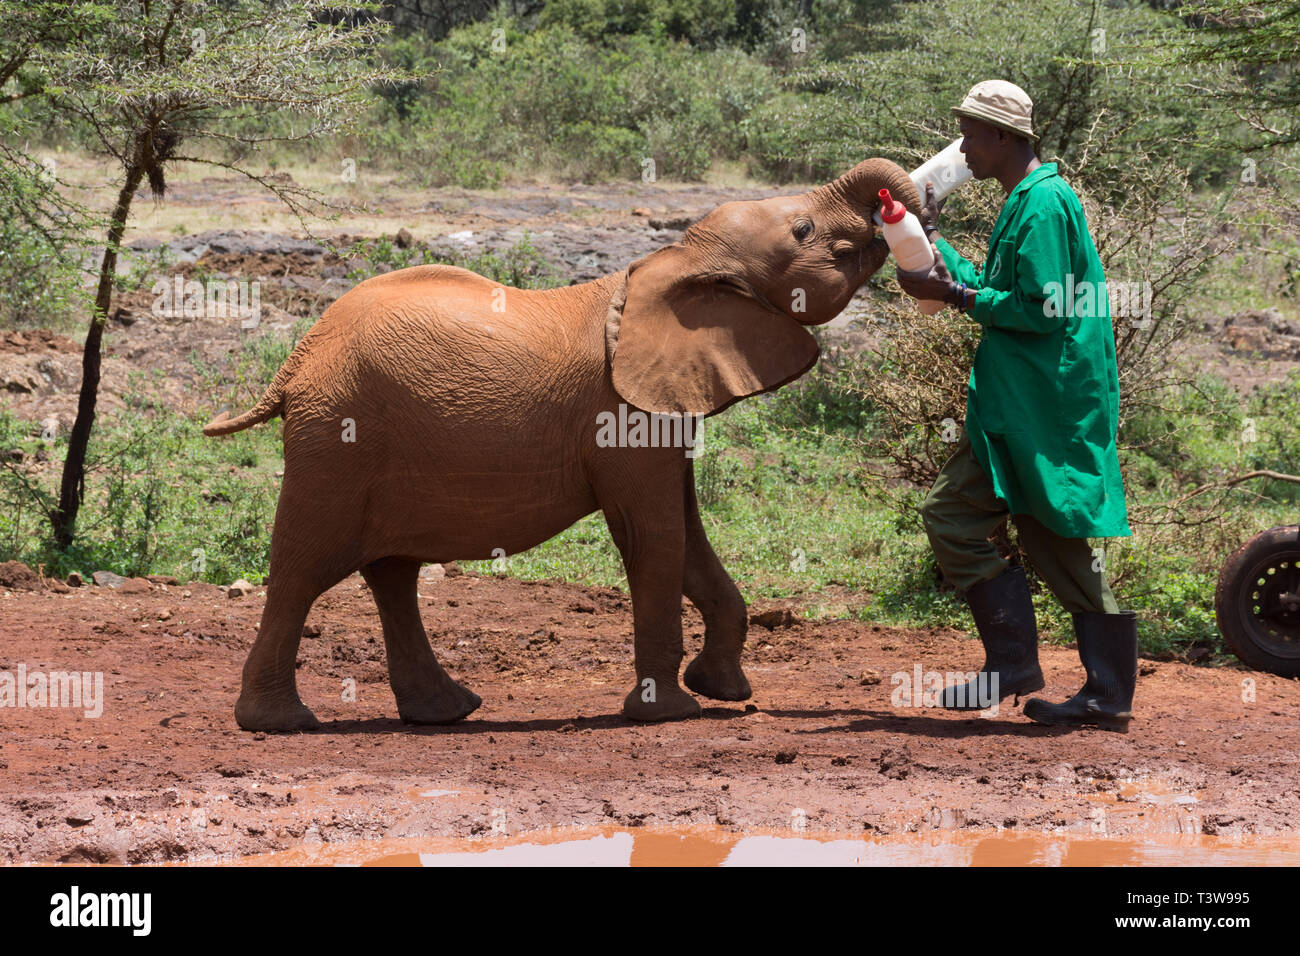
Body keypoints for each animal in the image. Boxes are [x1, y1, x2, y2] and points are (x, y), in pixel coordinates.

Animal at [203, 157, 920, 731]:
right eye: (802, 231)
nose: (894, 211)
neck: (678, 259)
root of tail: (297, 359)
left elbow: (686, 531)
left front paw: (723, 690)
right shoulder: (622, 411)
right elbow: (652, 532)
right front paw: (670, 713)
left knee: (392, 573)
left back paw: (446, 712)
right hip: (336, 437)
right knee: (302, 567)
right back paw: (280, 723)